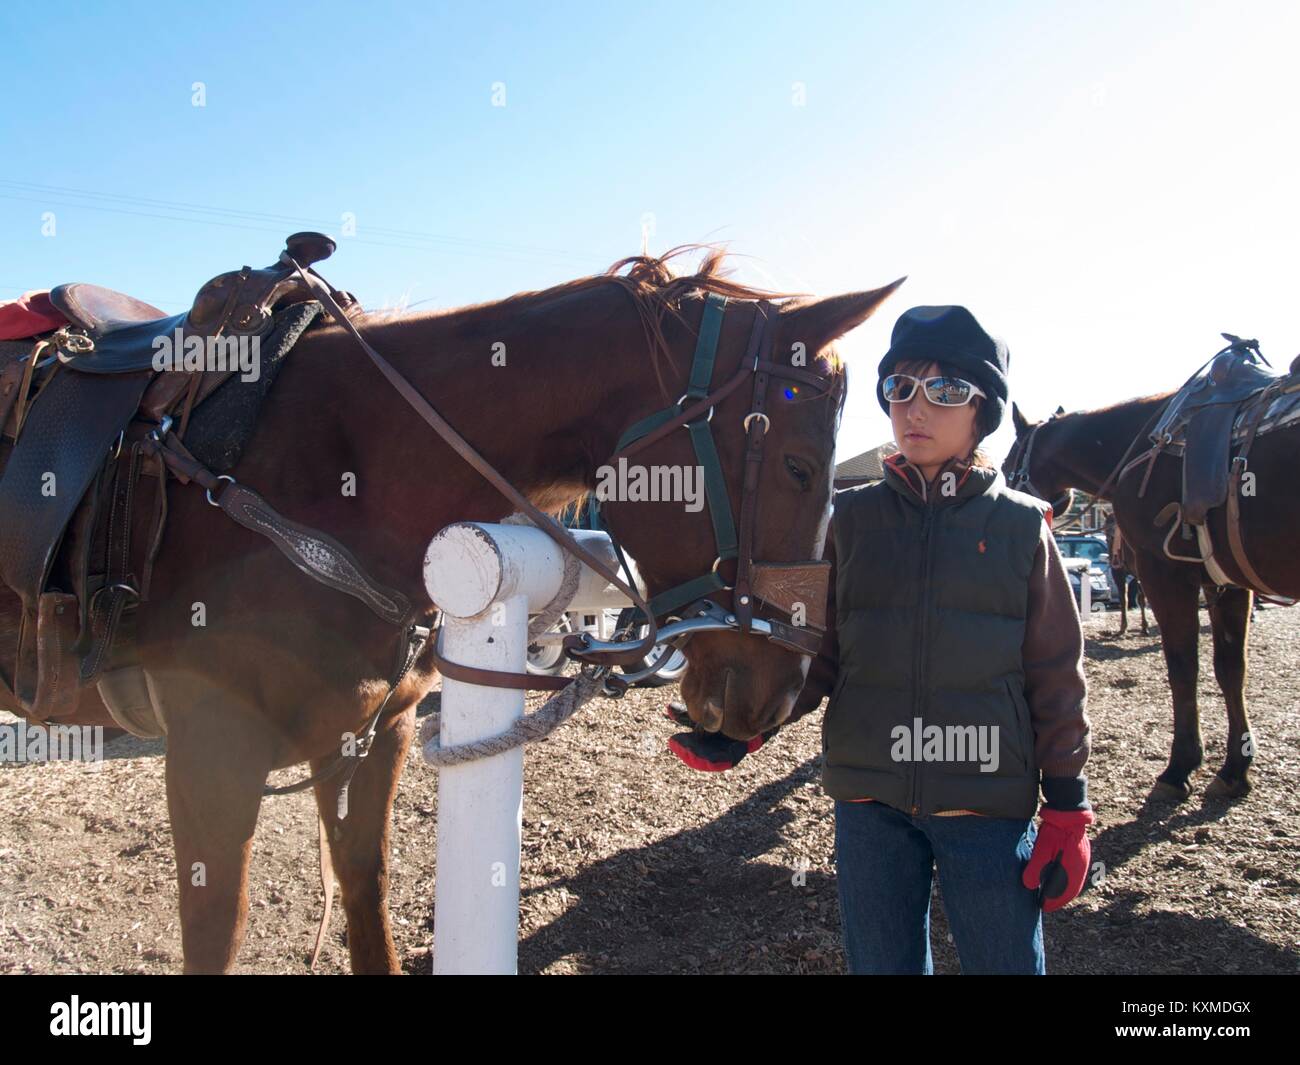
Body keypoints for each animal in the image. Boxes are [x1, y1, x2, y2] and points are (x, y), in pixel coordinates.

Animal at [0, 244, 903, 972]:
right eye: (795, 465)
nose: (777, 691)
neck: (336, 469)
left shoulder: (376, 734)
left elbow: (367, 897)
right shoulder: (210, 753)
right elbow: (217, 934)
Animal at [1004, 396, 1300, 801]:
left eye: (1008, 464)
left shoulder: (1164, 572)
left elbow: (1183, 667)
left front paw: (1179, 768)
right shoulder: (1225, 583)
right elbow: (1230, 669)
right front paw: (1233, 768)